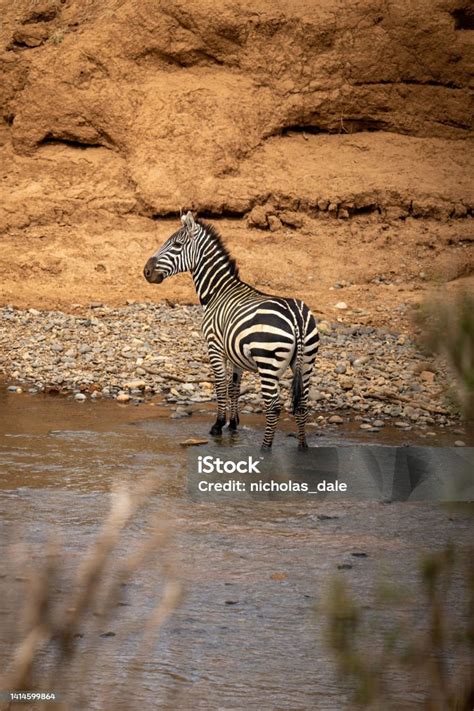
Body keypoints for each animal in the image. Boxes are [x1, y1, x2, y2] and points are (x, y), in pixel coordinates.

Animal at [143, 212, 319, 449]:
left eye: (177, 245)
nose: (146, 272)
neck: (218, 291)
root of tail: (296, 317)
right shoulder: (236, 354)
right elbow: (233, 388)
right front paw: (233, 424)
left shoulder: (214, 347)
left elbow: (219, 385)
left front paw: (218, 425)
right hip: (307, 362)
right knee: (302, 404)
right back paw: (302, 446)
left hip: (268, 363)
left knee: (273, 406)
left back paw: (265, 448)